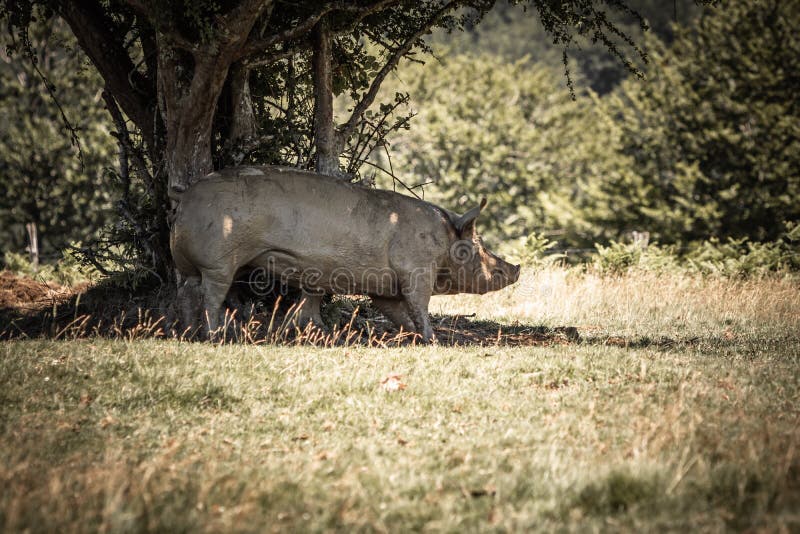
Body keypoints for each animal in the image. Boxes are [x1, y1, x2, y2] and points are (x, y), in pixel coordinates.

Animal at [170, 166, 520, 342]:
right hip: (219, 258)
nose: (517, 268)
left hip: (190, 263)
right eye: (478, 244)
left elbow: (396, 310)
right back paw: (214, 337)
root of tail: (185, 198)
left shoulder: (384, 287)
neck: (444, 238)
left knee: (186, 289)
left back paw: (186, 334)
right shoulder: (415, 268)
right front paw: (433, 339)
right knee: (211, 294)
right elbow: (419, 304)